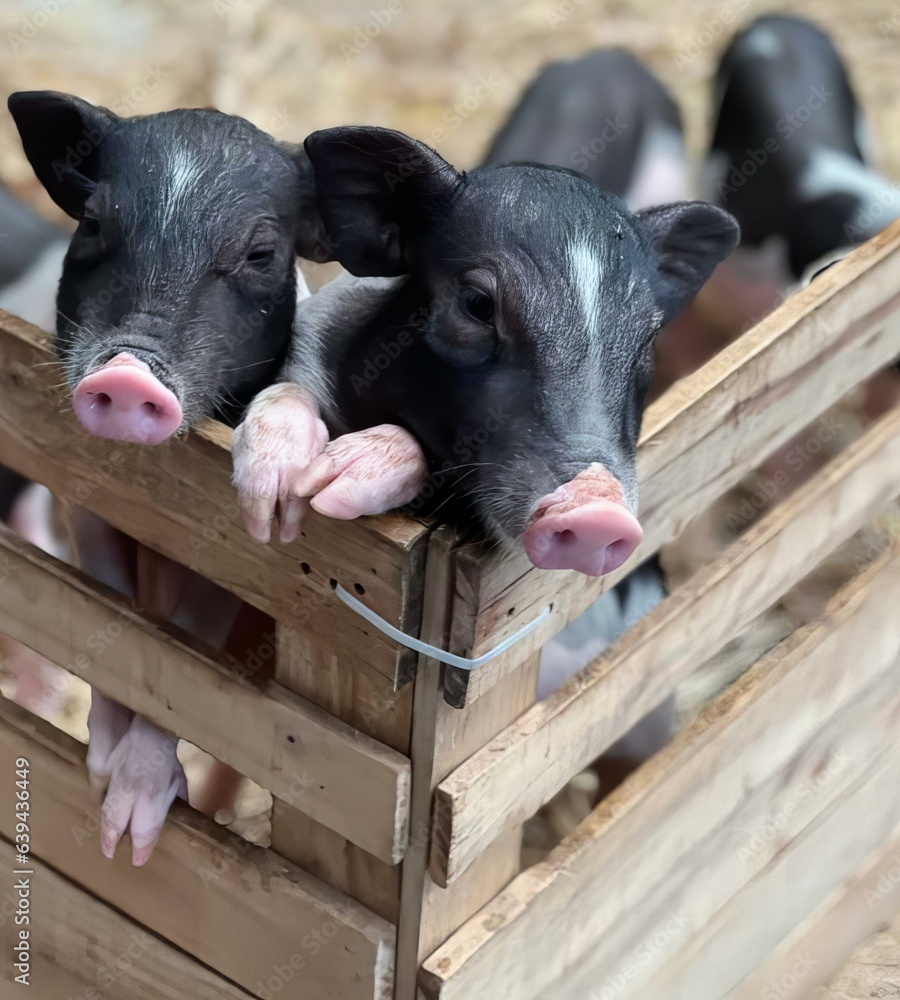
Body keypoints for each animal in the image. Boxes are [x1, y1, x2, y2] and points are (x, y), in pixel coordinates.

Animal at [7, 91, 420, 864]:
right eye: (93, 222)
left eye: (259, 254)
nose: (126, 374)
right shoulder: (81, 499)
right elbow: (108, 612)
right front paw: (100, 777)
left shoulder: (236, 561)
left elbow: (188, 652)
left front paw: (131, 838)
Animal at [233, 125, 739, 580]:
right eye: (476, 304)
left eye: (649, 338)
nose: (598, 509)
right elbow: (284, 393)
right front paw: (273, 513)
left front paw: (330, 489)